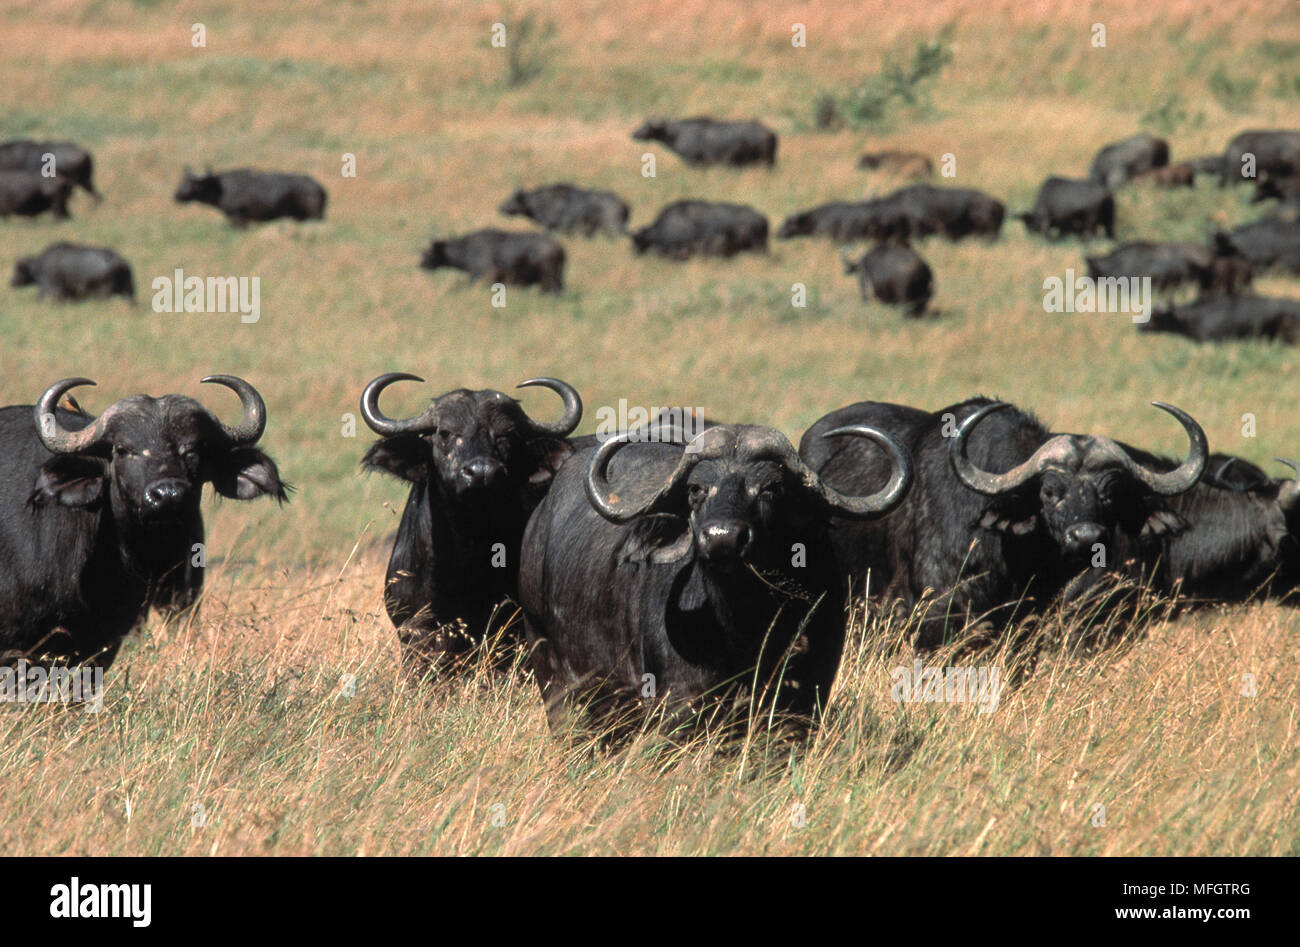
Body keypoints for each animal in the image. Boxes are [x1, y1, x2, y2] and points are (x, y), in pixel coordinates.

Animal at [174, 167, 327, 225]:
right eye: (181, 181)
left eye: (190, 184)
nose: (176, 196)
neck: (221, 187)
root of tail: (320, 188)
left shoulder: (238, 219)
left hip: (315, 216)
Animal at [419, 229, 565, 292]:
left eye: (428, 252)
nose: (421, 264)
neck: (466, 249)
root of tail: (560, 249)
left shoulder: (481, 277)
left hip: (548, 281)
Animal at [519, 423, 912, 736]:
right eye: (696, 489)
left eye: (771, 487)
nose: (723, 538)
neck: (742, 629)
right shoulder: (676, 705)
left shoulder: (806, 696)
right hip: (551, 671)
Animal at [631, 117, 777, 167]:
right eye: (643, 123)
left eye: (647, 126)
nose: (633, 134)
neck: (677, 134)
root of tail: (770, 133)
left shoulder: (693, 162)